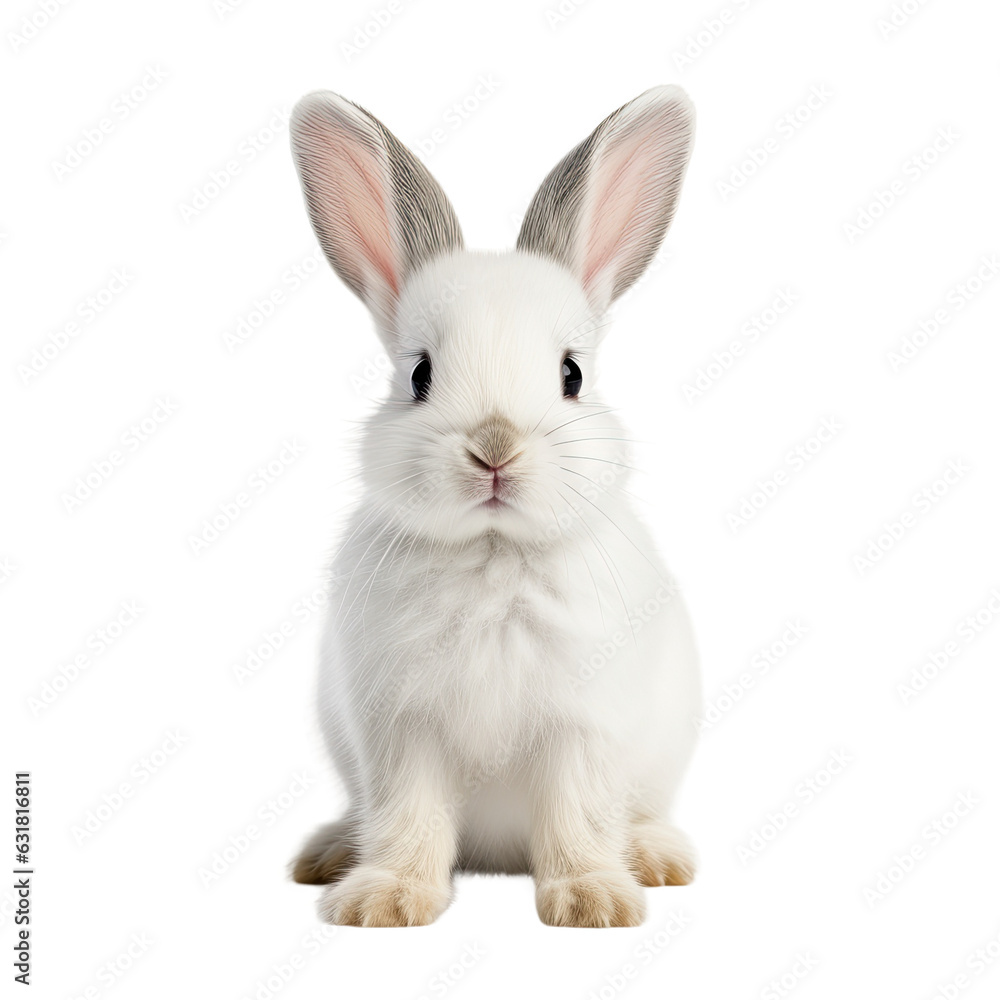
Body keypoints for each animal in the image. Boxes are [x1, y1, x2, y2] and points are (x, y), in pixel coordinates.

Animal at [288, 85, 701, 927]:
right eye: (419, 375)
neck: (494, 551)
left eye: (572, 374)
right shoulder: (401, 732)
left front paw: (593, 901)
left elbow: (577, 817)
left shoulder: (582, 726)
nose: (494, 447)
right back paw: (331, 854)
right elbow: (408, 817)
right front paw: (386, 901)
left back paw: (654, 858)